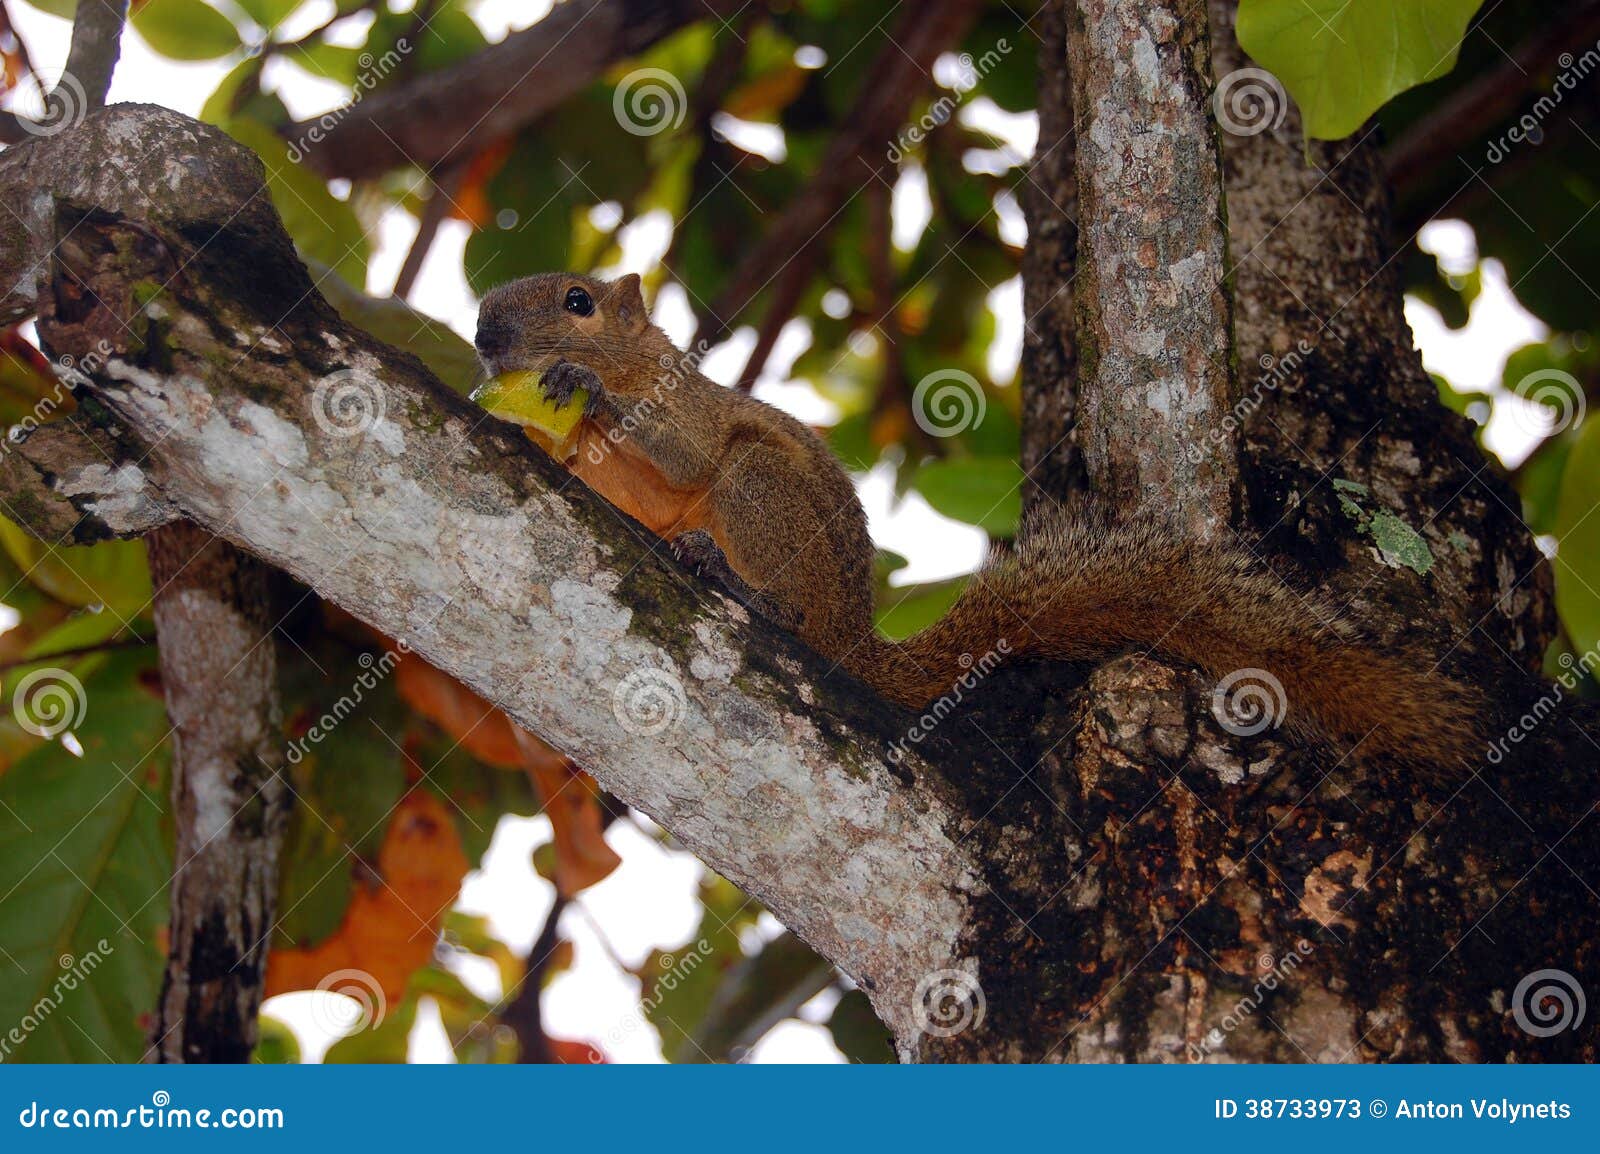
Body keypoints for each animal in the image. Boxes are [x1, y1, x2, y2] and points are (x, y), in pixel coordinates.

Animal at [474, 272, 1483, 772]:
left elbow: (678, 456)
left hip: (762, 495)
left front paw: (584, 385)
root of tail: (853, 625)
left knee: (769, 569)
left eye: (578, 303)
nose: (484, 336)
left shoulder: (684, 406)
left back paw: (733, 578)